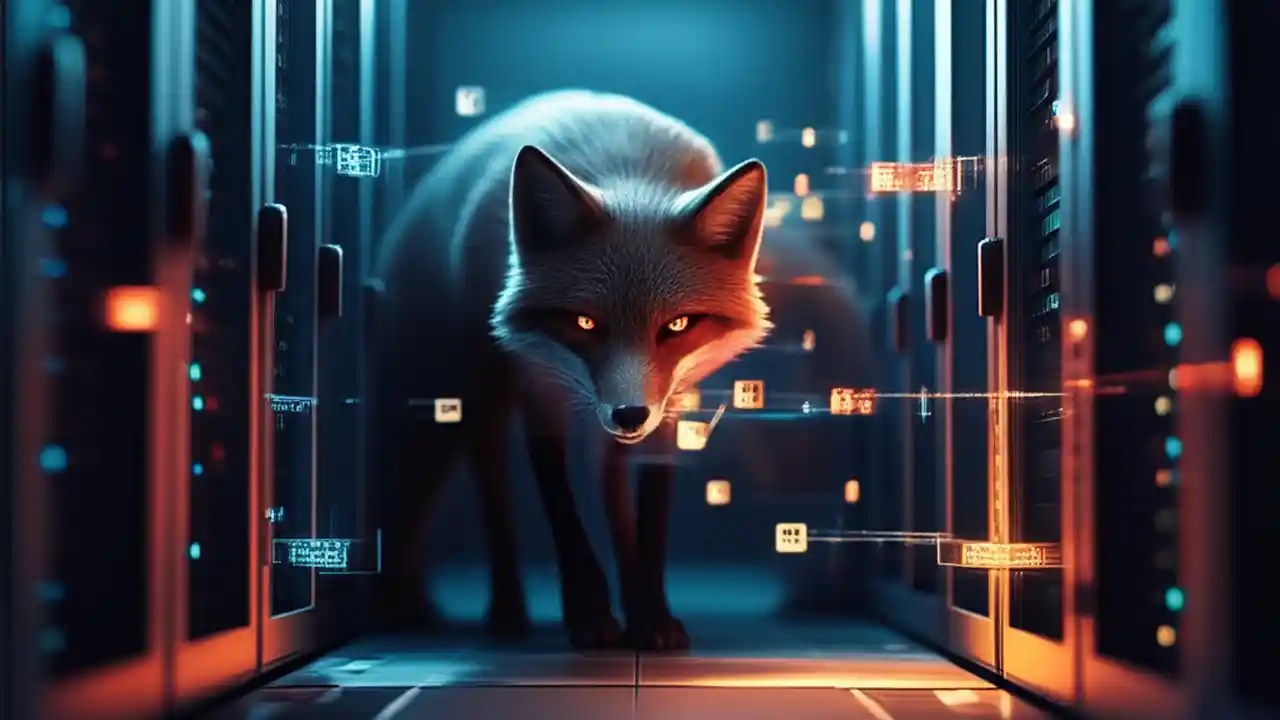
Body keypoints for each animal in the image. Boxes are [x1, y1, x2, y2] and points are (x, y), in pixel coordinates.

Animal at [370, 90, 771, 650]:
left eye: (678, 325)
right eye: (585, 322)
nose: (628, 414)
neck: (629, 171)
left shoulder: (668, 405)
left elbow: (647, 516)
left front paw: (651, 616)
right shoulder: (540, 388)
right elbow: (561, 506)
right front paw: (589, 613)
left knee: (604, 491)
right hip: (459, 400)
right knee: (485, 484)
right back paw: (494, 608)